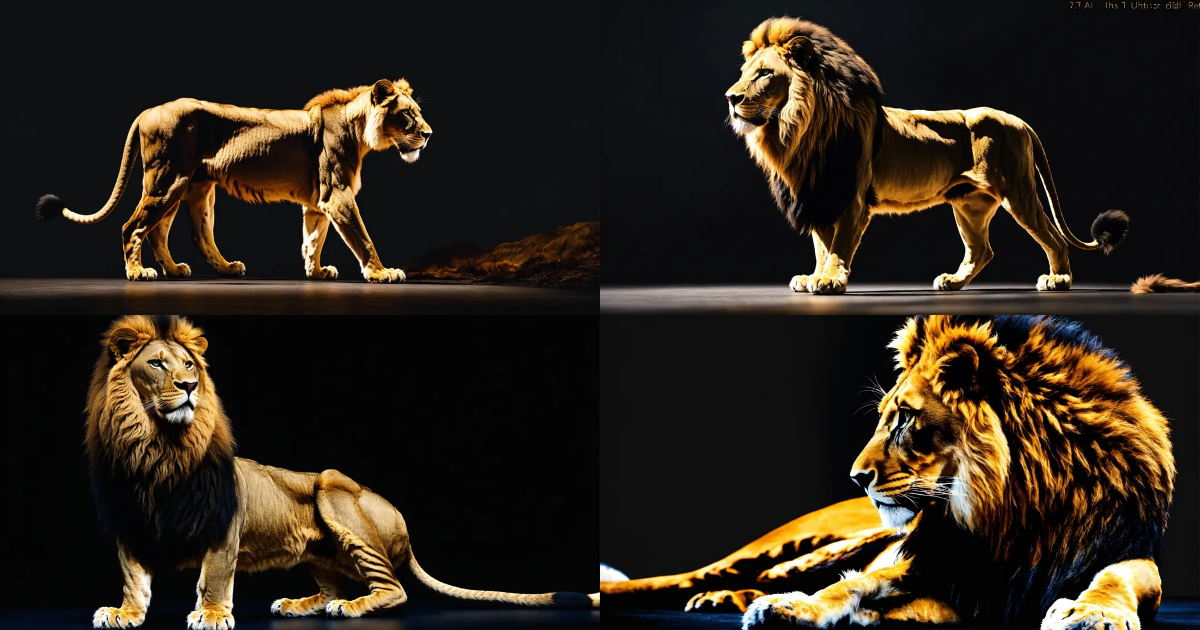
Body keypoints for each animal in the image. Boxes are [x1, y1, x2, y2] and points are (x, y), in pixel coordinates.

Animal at [37, 79, 431, 282]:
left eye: (418, 112)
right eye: (407, 115)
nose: (428, 134)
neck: (359, 131)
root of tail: (147, 111)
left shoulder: (318, 202)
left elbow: (312, 240)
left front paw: (316, 272)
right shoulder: (338, 195)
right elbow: (362, 238)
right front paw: (381, 273)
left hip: (190, 187)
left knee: (175, 233)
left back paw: (192, 269)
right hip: (167, 180)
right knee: (133, 227)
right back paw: (138, 272)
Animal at [85, 316, 596, 630]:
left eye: (190, 364)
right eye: (156, 363)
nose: (190, 385)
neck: (158, 448)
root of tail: (402, 525)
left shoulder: (224, 525)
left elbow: (214, 574)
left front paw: (211, 615)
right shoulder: (129, 524)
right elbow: (134, 576)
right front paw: (125, 612)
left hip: (332, 486)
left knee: (391, 588)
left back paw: (348, 606)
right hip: (321, 549)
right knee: (337, 579)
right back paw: (297, 604)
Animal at [603, 315, 1176, 630]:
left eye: (904, 418)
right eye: (885, 416)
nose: (856, 478)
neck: (1010, 512)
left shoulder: (1122, 552)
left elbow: (1119, 576)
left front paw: (1094, 613)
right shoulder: (926, 562)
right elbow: (852, 585)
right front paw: (793, 610)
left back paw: (722, 600)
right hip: (792, 549)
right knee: (684, 579)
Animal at [726, 17, 1133, 294]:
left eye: (764, 73)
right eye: (744, 72)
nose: (730, 98)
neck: (795, 129)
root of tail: (1017, 120)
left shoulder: (851, 197)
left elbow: (838, 246)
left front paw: (829, 282)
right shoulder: (819, 194)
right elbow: (821, 246)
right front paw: (814, 276)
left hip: (1017, 192)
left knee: (1052, 237)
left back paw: (1058, 279)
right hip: (970, 205)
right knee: (981, 250)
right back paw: (953, 281)